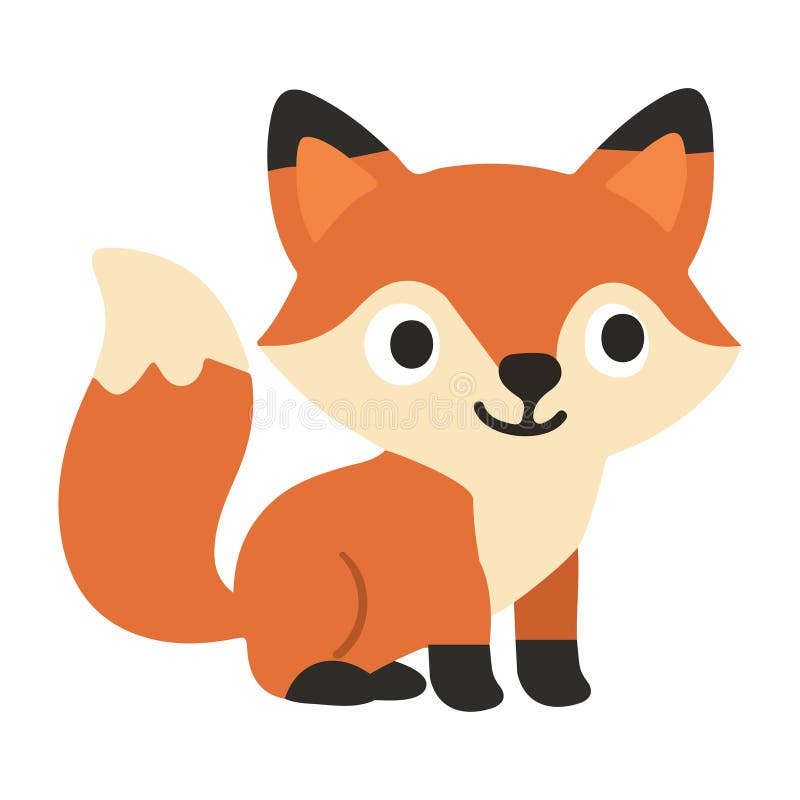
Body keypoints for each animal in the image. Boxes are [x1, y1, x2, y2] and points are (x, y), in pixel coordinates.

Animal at [59, 88, 739, 711]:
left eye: (621, 336)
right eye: (408, 342)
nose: (531, 374)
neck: (516, 492)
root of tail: (244, 600)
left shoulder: (557, 573)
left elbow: (550, 640)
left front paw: (560, 694)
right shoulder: (448, 572)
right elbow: (464, 645)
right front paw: (474, 699)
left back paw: (388, 679)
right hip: (329, 592)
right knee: (277, 674)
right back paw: (337, 684)